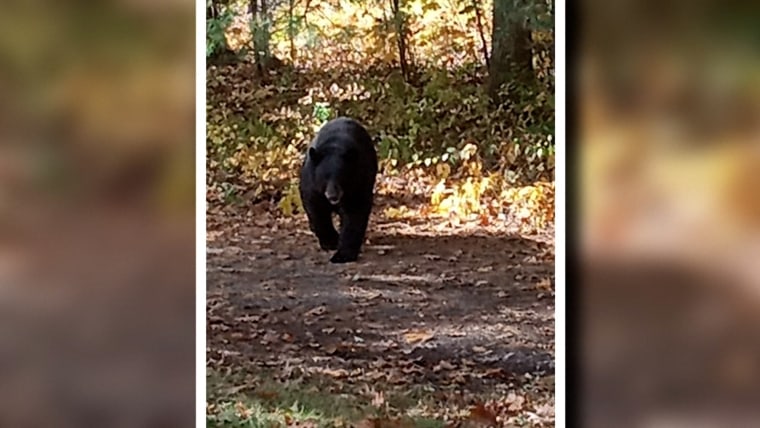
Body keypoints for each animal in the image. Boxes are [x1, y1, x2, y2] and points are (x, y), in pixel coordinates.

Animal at [299, 117, 378, 263]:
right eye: (324, 177)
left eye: (342, 176)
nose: (333, 196)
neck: (335, 148)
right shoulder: (312, 184)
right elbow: (316, 209)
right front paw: (330, 241)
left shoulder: (358, 183)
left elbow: (355, 215)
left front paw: (343, 254)